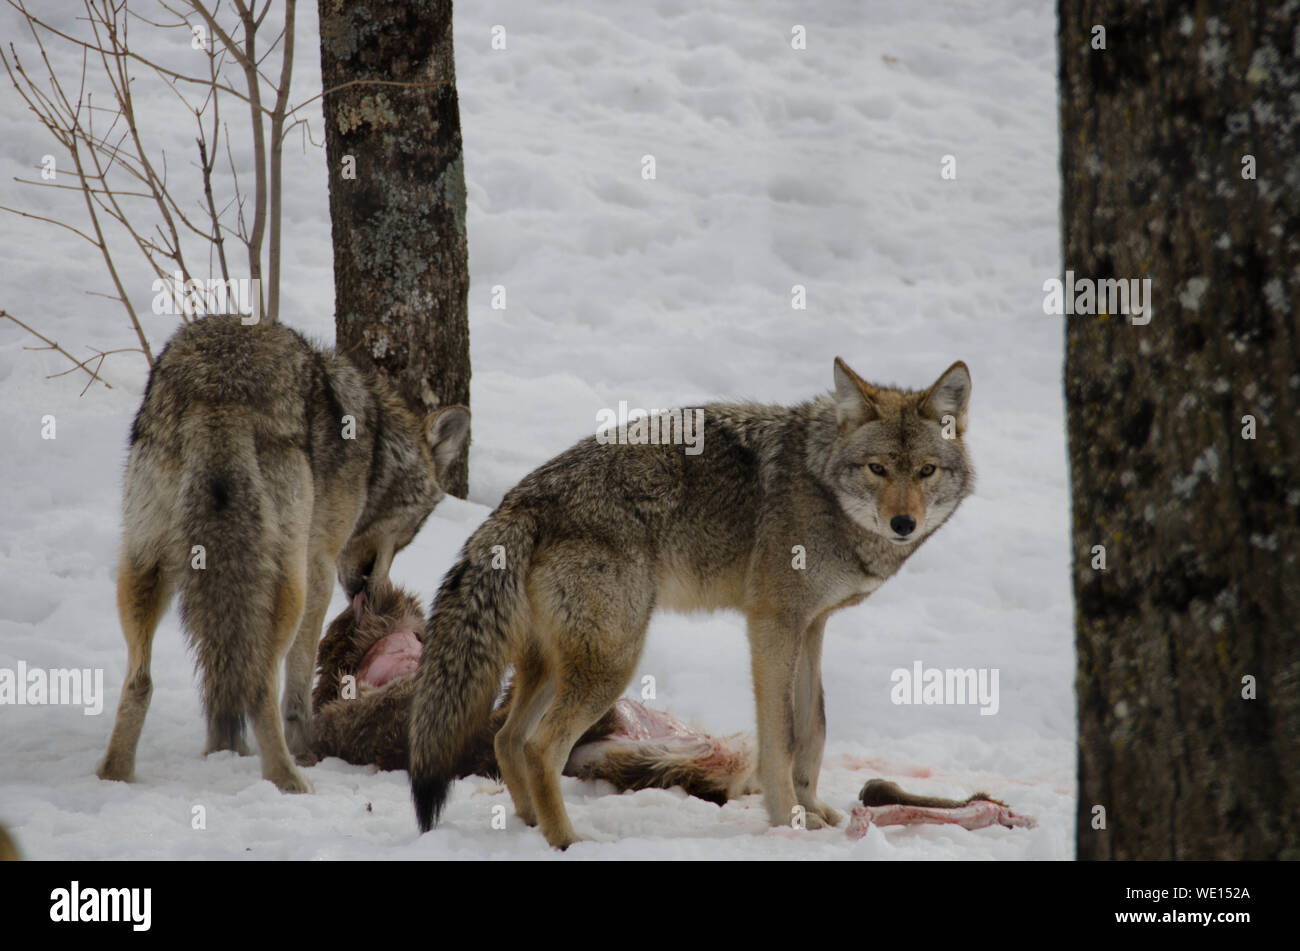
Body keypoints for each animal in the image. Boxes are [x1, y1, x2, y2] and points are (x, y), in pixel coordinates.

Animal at [96, 315, 469, 794]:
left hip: (148, 566)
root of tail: (218, 390)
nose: (373, 591)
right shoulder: (320, 566)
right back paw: (289, 779)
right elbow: (297, 681)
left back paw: (118, 774)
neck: (376, 448)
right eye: (413, 532)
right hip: (286, 581)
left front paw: (225, 749)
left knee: (141, 680)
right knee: (259, 686)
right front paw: (305, 745)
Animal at [409, 357, 972, 847]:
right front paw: (787, 818)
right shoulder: (772, 625)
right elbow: (783, 737)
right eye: (877, 468)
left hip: (557, 667)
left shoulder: (812, 627)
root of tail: (521, 500)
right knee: (539, 746)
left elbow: (815, 727)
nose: (904, 524)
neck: (824, 487)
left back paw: (531, 827)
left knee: (507, 739)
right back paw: (569, 840)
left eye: (926, 471)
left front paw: (812, 811)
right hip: (612, 664)